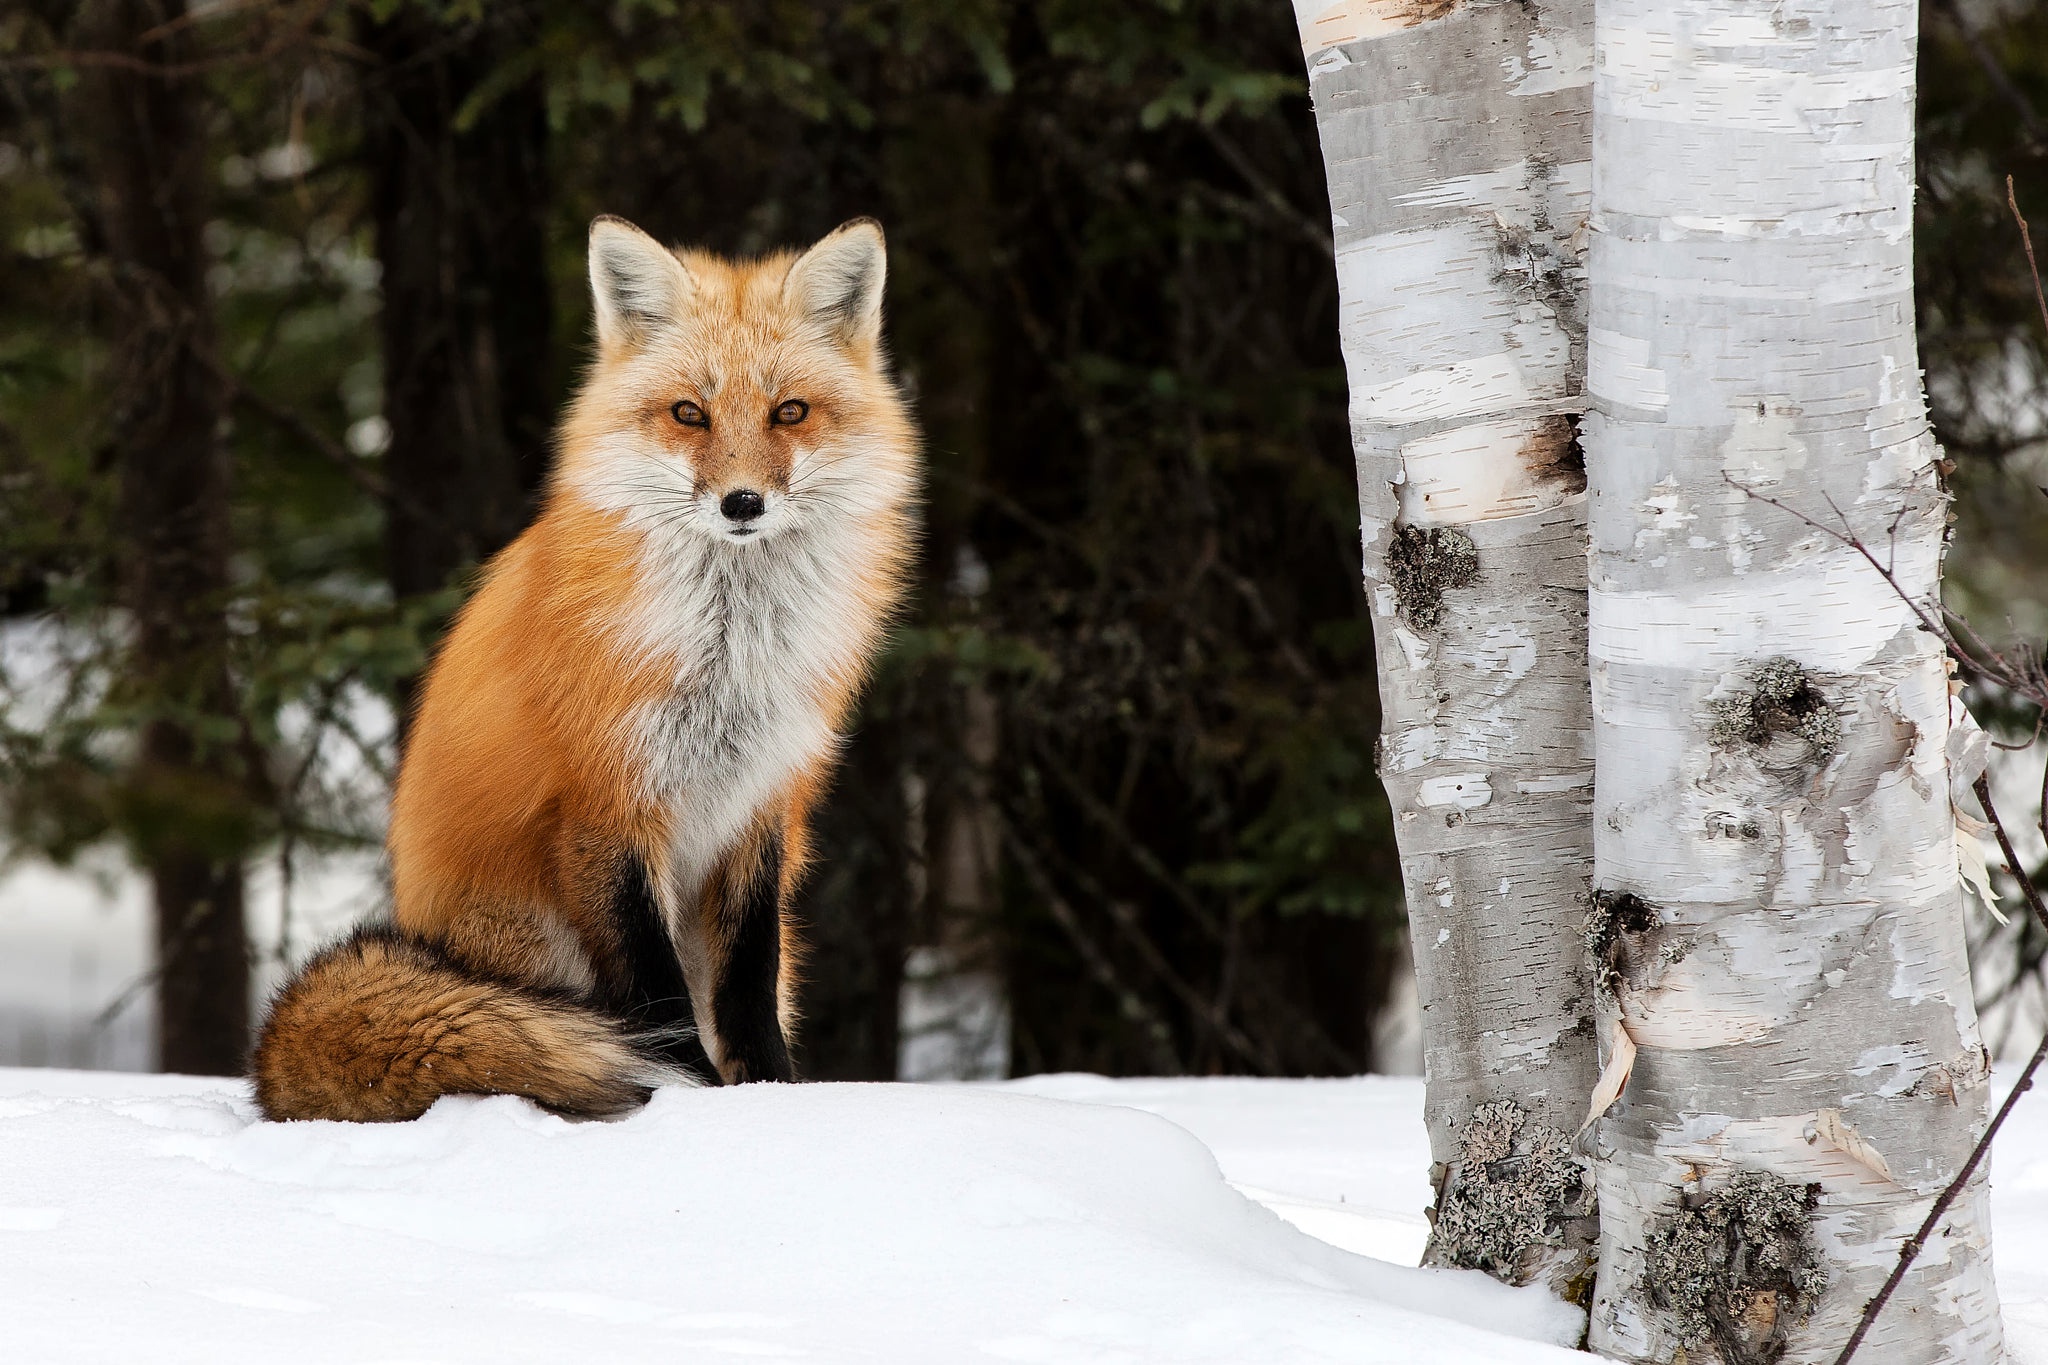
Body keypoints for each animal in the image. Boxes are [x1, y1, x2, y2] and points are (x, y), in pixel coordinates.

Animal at [252, 215, 918, 1121]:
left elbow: (745, 985)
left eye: (790, 412)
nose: (742, 502)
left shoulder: (762, 805)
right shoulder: (606, 805)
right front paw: (689, 1098)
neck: (727, 654)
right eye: (688, 413)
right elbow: (658, 996)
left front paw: (768, 1098)